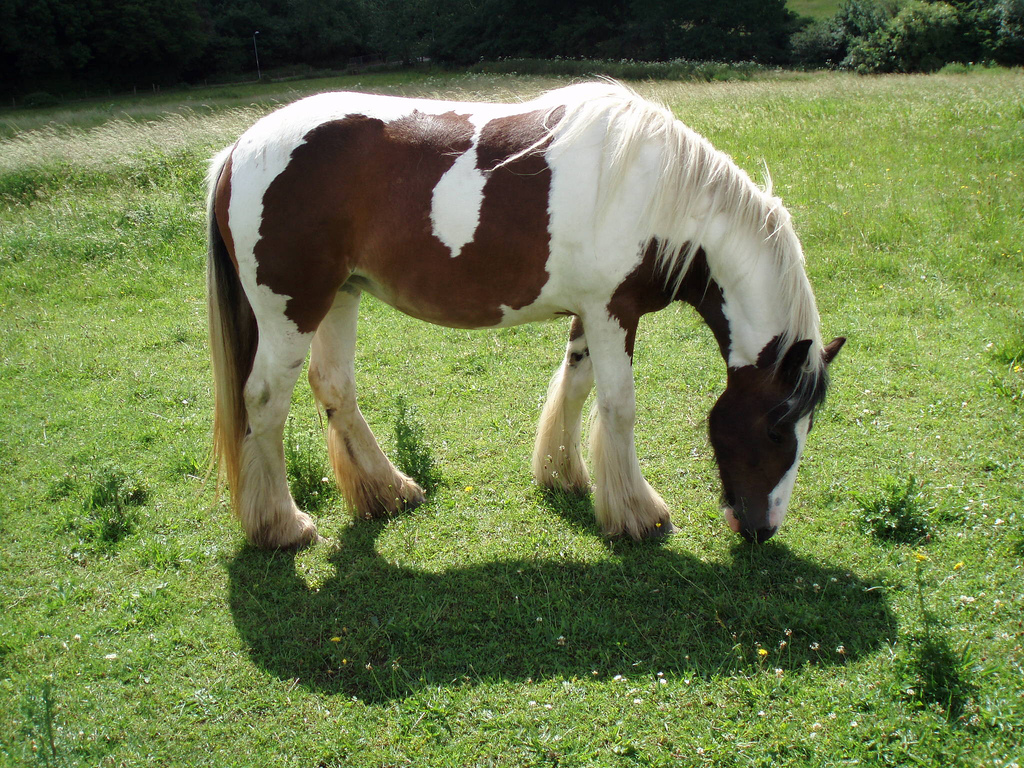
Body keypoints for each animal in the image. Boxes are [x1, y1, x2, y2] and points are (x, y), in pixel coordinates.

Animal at [206, 81, 845, 549]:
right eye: (775, 426)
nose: (762, 529)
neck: (661, 198)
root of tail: (238, 151)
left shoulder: (591, 313)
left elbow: (577, 385)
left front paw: (565, 475)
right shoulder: (614, 312)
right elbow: (619, 406)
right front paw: (637, 513)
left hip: (340, 296)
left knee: (334, 387)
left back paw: (387, 491)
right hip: (293, 310)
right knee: (265, 402)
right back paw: (282, 526)